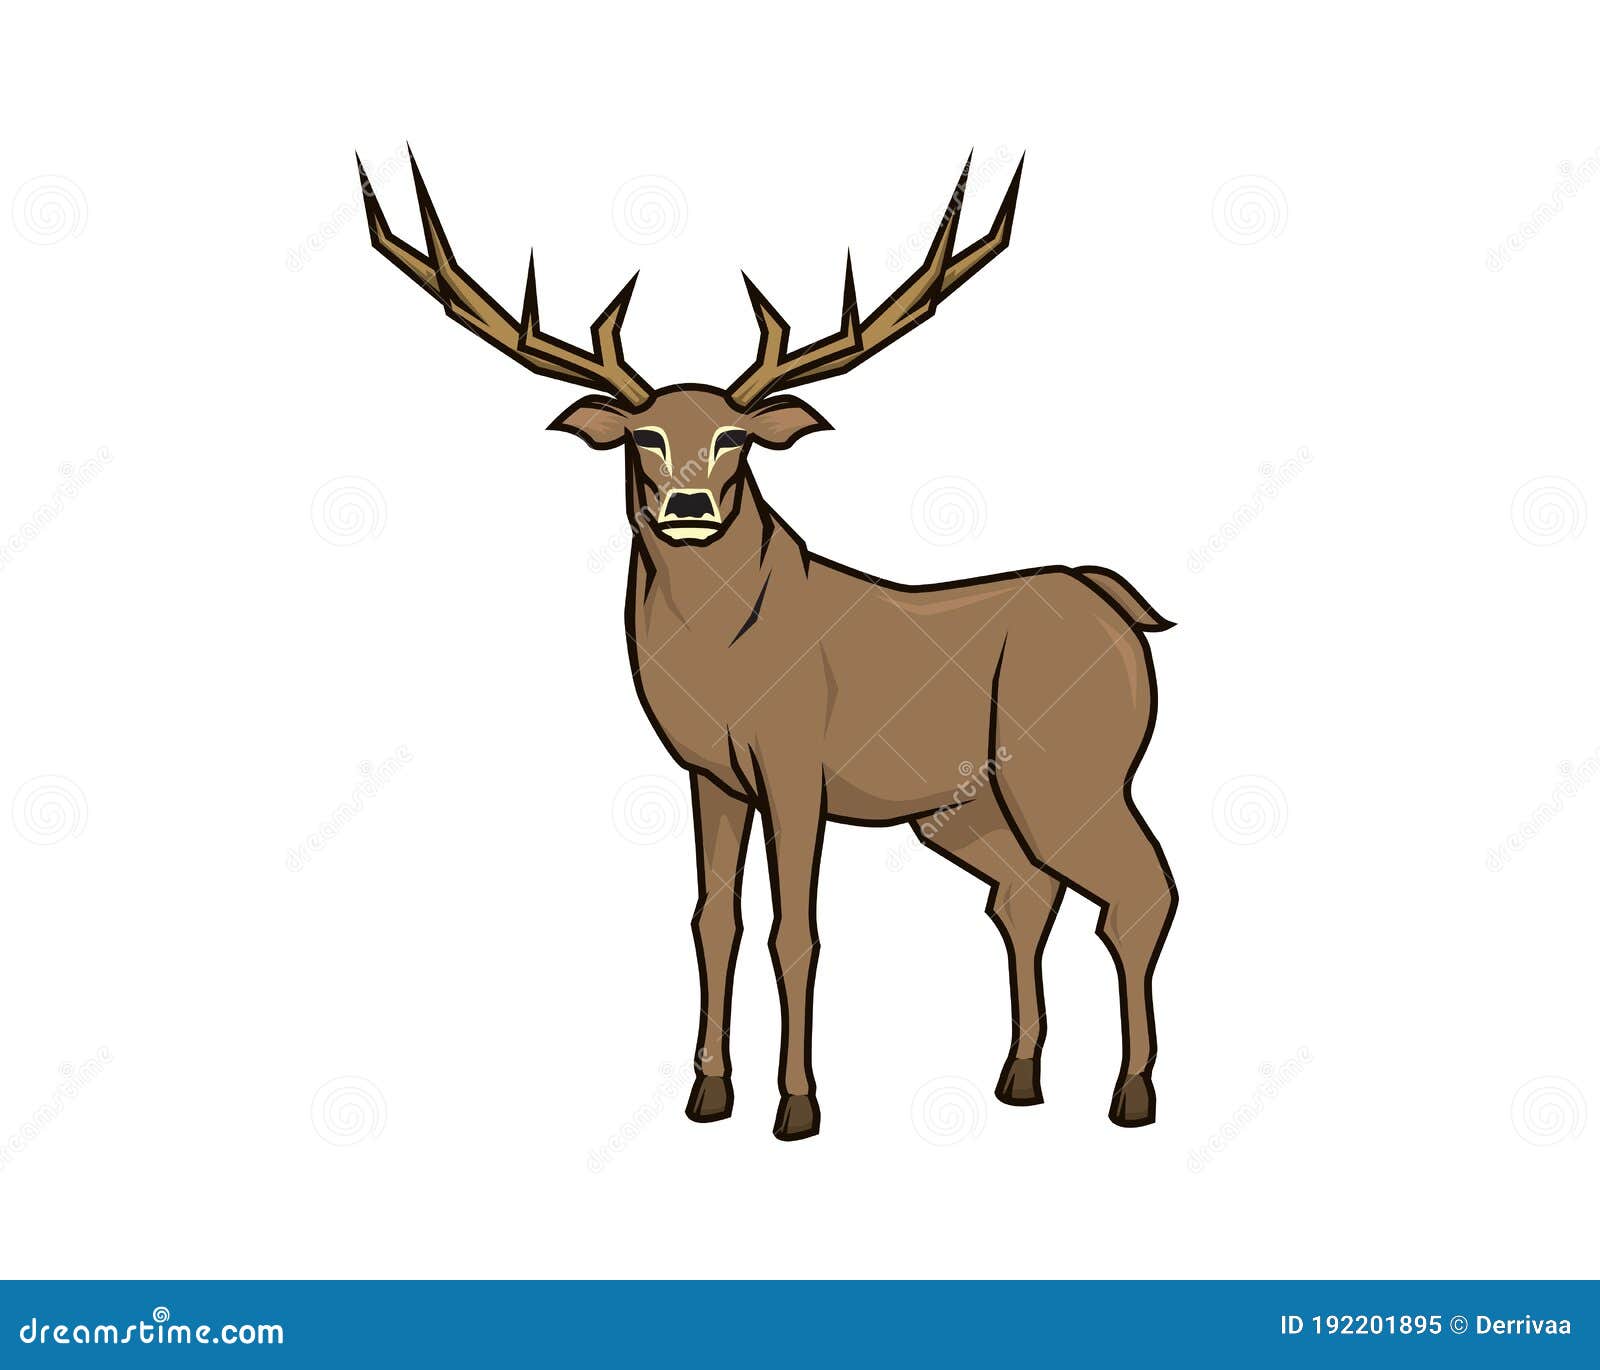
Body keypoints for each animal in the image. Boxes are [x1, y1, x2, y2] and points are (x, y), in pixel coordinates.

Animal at [359, 149, 1178, 1141]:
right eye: (644, 436)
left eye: (734, 438)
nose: (687, 505)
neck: (723, 659)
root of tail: (1117, 605)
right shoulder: (709, 773)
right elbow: (715, 921)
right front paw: (708, 1094)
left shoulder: (795, 764)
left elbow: (798, 930)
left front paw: (797, 1105)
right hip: (965, 806)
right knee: (1026, 892)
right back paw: (1019, 1077)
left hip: (1074, 768)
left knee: (1140, 891)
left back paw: (1132, 1095)